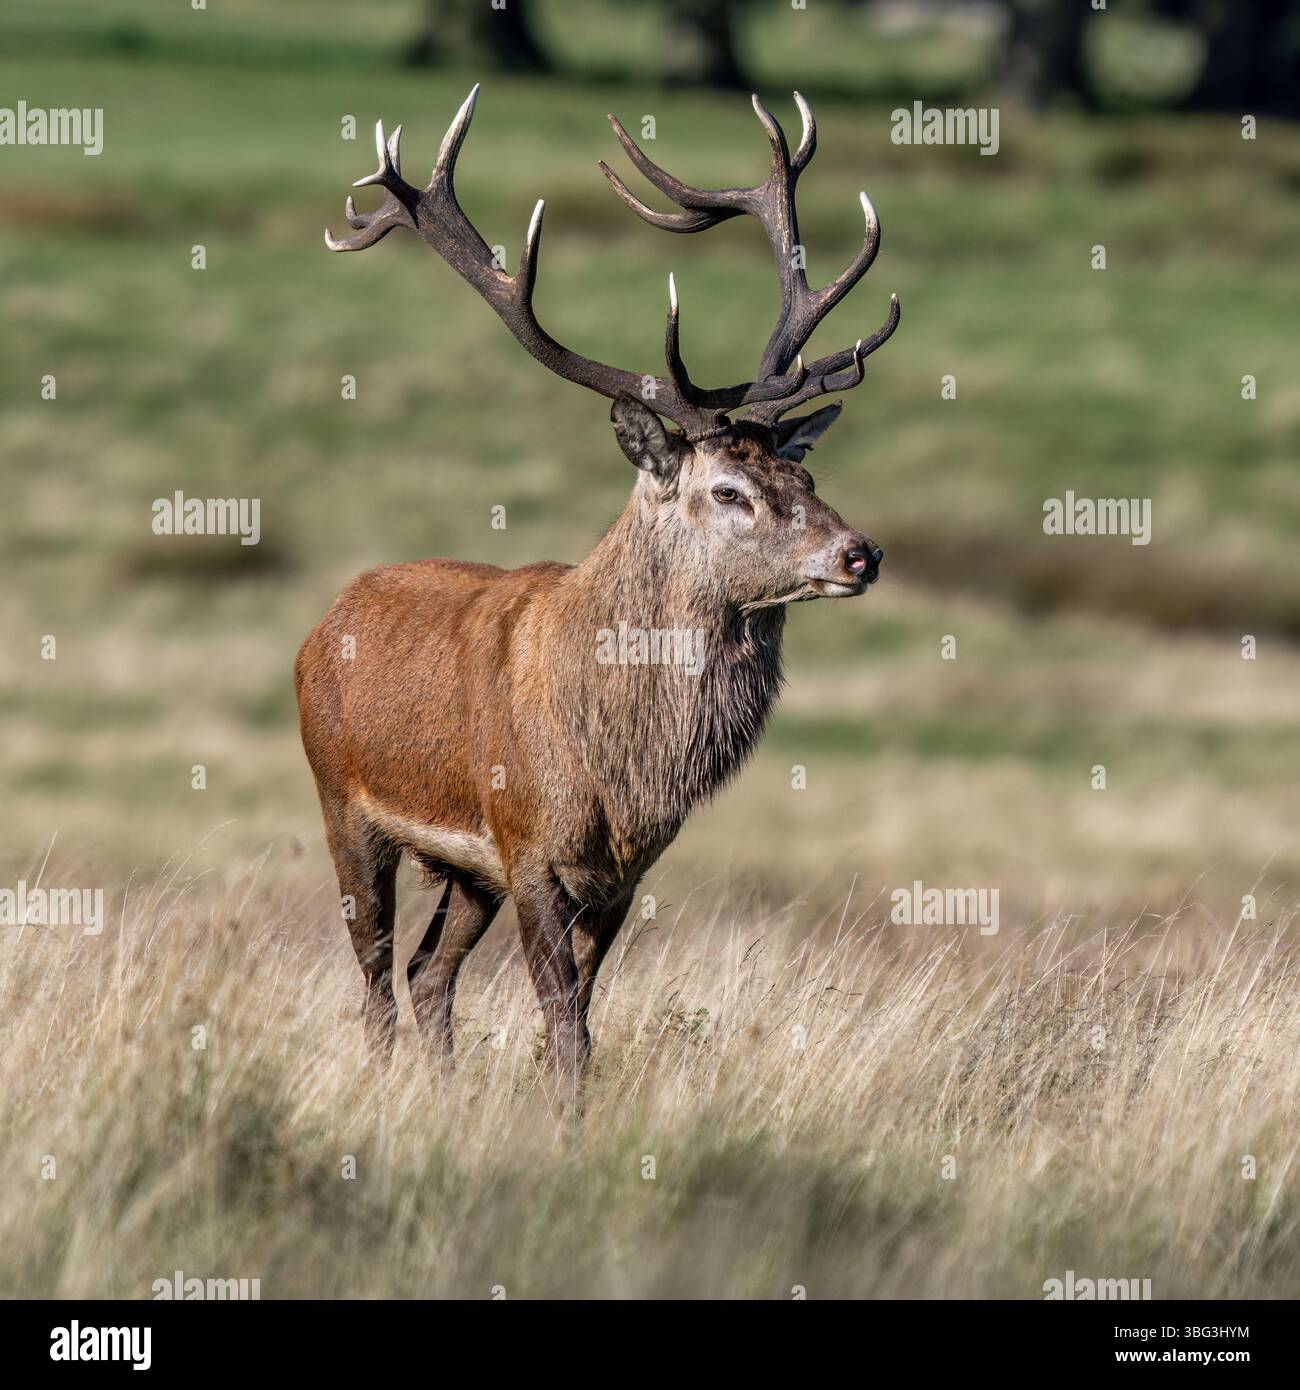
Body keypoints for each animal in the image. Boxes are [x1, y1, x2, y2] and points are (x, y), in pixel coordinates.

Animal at [296, 85, 900, 1084]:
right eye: (727, 490)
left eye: (804, 473)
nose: (861, 555)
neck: (619, 770)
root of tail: (324, 622)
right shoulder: (529, 843)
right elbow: (565, 1026)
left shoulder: (622, 872)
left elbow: (575, 1021)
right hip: (346, 803)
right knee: (377, 978)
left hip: (467, 873)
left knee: (428, 974)